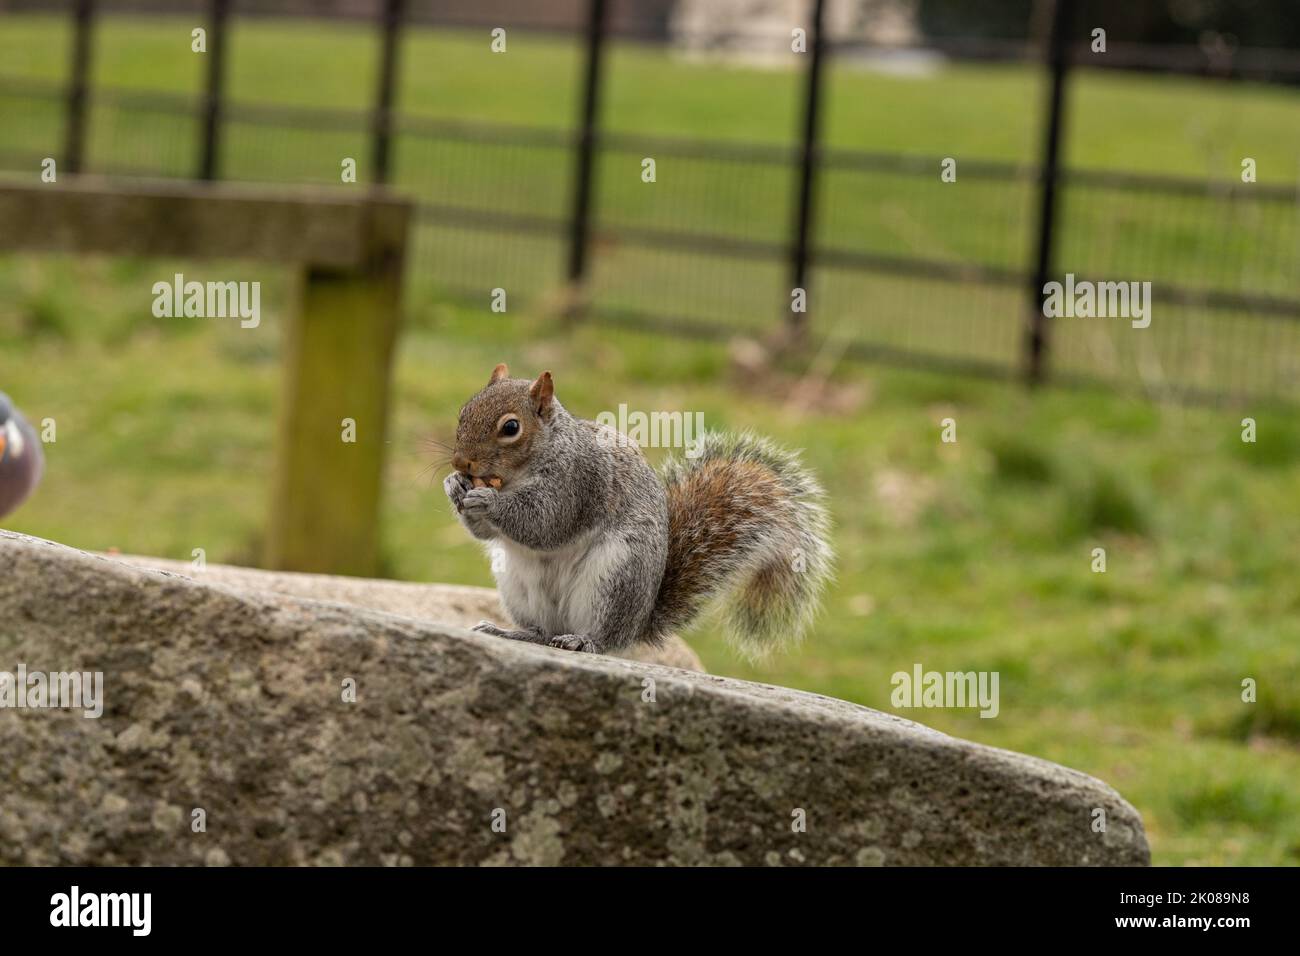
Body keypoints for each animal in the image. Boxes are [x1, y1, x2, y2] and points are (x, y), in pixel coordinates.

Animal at [443, 364, 833, 657]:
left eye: (511, 427)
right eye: (463, 412)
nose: (460, 462)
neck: (518, 475)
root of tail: (638, 624)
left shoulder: (580, 482)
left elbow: (545, 522)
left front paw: (488, 501)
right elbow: (489, 532)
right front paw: (454, 485)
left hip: (615, 576)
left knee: (603, 639)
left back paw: (582, 641)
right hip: (517, 585)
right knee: (541, 631)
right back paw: (513, 633)